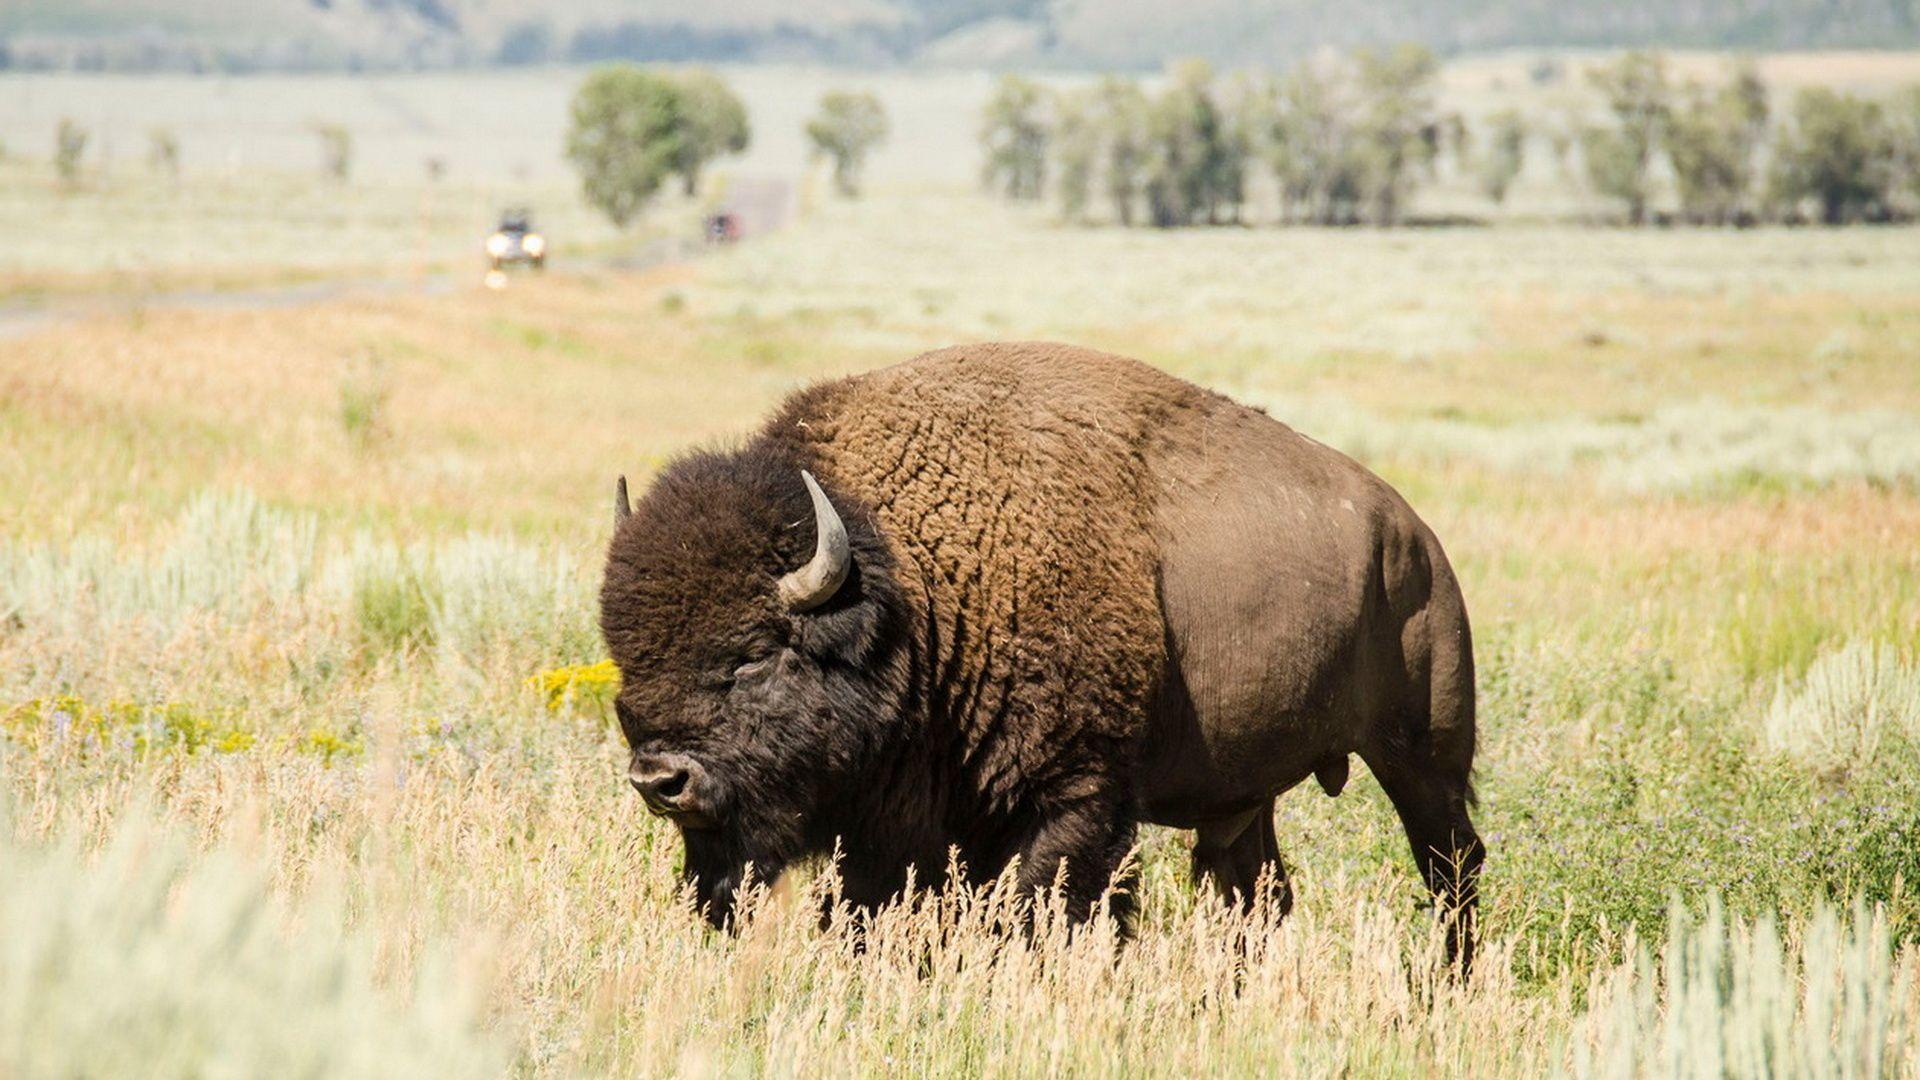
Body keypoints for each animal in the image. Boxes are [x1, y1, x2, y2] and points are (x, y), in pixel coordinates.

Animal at [601, 342, 1483, 965]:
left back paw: (1449, 986)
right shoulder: (901, 827)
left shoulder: (1074, 797)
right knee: (1257, 892)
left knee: (1451, 866)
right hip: (1247, 795)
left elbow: (1036, 912)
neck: (916, 587)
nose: (660, 780)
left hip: (1423, 755)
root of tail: (1413, 536)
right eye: (623, 655)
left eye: (752, 655)